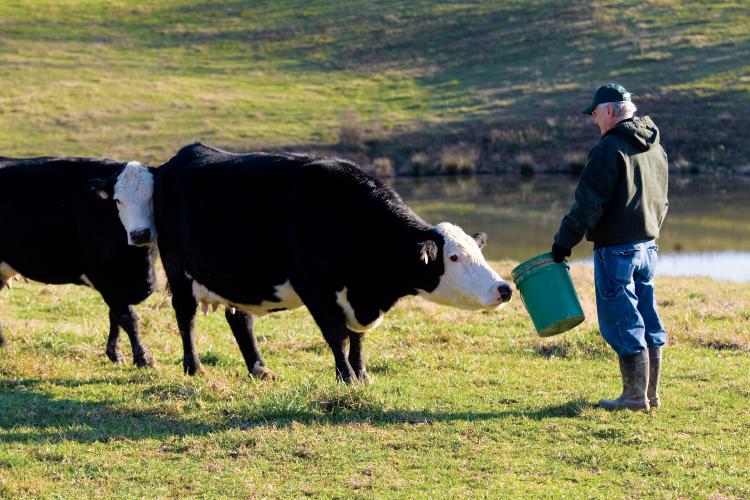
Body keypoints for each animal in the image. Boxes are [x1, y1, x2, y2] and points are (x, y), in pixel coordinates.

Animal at [0, 156, 157, 366]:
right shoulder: (105, 278)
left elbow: (114, 316)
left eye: (152, 197)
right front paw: (143, 358)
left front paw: (114, 353)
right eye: (117, 200)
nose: (139, 234)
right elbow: (128, 317)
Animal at [154, 143, 513, 382]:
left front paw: (362, 375)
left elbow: (357, 337)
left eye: (478, 252)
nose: (504, 288)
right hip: (178, 271)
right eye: (453, 256)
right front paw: (346, 378)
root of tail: (179, 158)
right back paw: (194, 367)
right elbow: (337, 335)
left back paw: (260, 369)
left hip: (240, 281)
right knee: (186, 318)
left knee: (240, 320)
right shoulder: (315, 288)